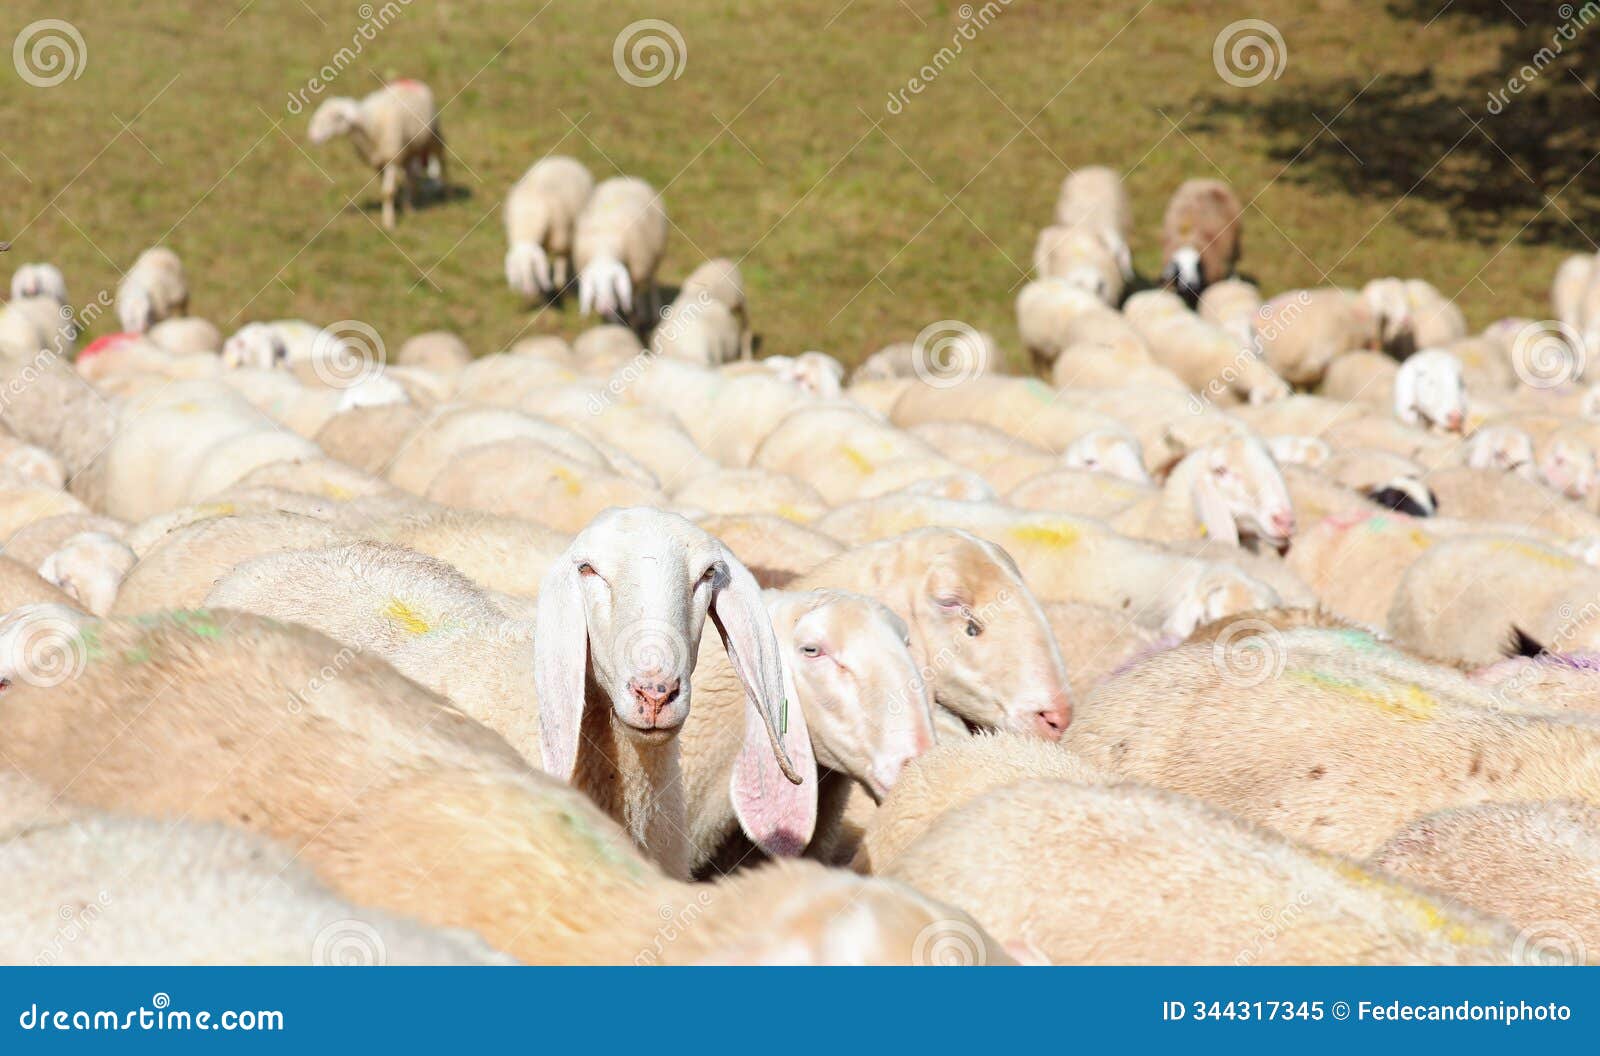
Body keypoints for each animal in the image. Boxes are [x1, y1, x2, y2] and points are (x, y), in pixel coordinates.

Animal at [308, 79, 444, 230]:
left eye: (337, 117)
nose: (312, 137)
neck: (369, 123)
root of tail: (413, 81)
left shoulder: (391, 157)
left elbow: (388, 192)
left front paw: (389, 222)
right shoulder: (378, 163)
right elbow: (384, 191)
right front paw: (392, 210)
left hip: (433, 137)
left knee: (442, 160)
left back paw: (447, 192)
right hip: (408, 151)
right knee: (410, 178)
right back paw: (408, 207)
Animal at [504, 155, 595, 300]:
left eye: (533, 267)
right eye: (517, 270)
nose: (529, 292)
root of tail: (564, 159)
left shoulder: (560, 239)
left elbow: (560, 259)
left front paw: (559, 284)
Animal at [574, 176, 669, 327]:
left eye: (613, 281)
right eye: (594, 285)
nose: (604, 308)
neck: (604, 249)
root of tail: (625, 180)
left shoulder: (636, 270)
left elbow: (633, 298)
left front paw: (633, 319)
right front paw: (614, 323)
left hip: (654, 256)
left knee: (651, 282)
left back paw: (652, 311)